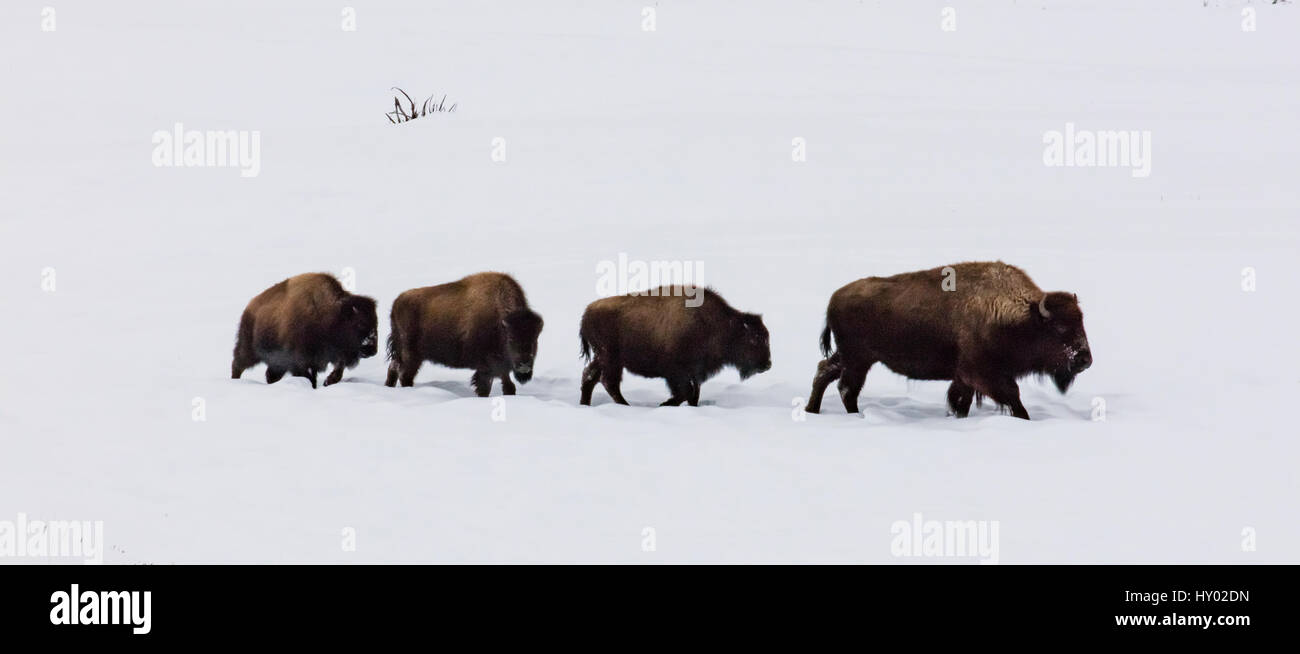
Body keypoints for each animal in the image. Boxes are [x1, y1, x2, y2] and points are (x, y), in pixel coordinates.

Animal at [231, 273, 379, 388]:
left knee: (270, 374)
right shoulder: (299, 360)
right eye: (359, 323)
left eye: (376, 323)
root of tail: (249, 307)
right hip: (248, 351)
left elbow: (338, 369)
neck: (330, 314)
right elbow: (307, 376)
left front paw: (327, 382)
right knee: (237, 365)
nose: (372, 350)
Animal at [385, 272, 544, 396]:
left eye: (535, 339)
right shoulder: (486, 367)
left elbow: (509, 386)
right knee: (405, 375)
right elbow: (485, 387)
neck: (500, 323)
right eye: (511, 338)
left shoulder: (501, 367)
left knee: (394, 368)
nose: (524, 364)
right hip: (411, 355)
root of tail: (397, 302)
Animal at [579, 286, 772, 406]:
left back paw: (586, 404)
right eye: (753, 339)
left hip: (605, 358)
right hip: (611, 359)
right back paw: (625, 405)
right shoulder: (677, 373)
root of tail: (587, 313)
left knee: (591, 377)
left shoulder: (694, 373)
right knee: (608, 382)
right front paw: (665, 404)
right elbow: (686, 392)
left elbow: (693, 394)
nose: (767, 364)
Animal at [805, 261, 1092, 419]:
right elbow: (1013, 397)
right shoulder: (983, 374)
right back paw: (852, 415)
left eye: (1081, 322)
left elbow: (961, 401)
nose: (1085, 359)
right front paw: (1024, 418)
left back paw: (812, 410)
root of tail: (834, 298)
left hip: (852, 356)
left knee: (825, 372)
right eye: (1059, 327)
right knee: (846, 387)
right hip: (858, 359)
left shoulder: (964, 377)